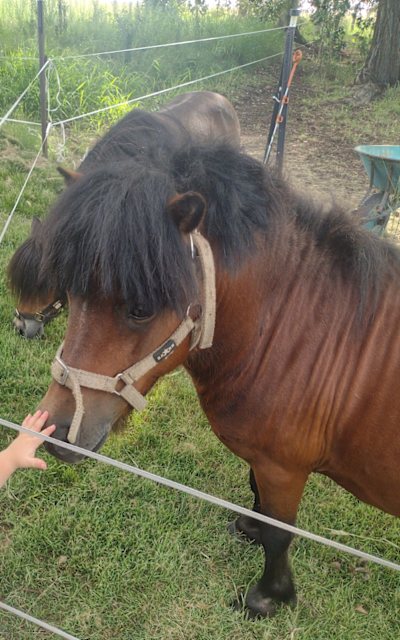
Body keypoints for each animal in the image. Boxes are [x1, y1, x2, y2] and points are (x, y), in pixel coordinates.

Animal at [36, 142, 400, 618]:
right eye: (72, 292)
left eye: (140, 309)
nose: (55, 430)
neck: (298, 328)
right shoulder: (264, 462)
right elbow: (257, 498)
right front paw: (248, 528)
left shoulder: (284, 467)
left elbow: (280, 531)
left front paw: (268, 597)